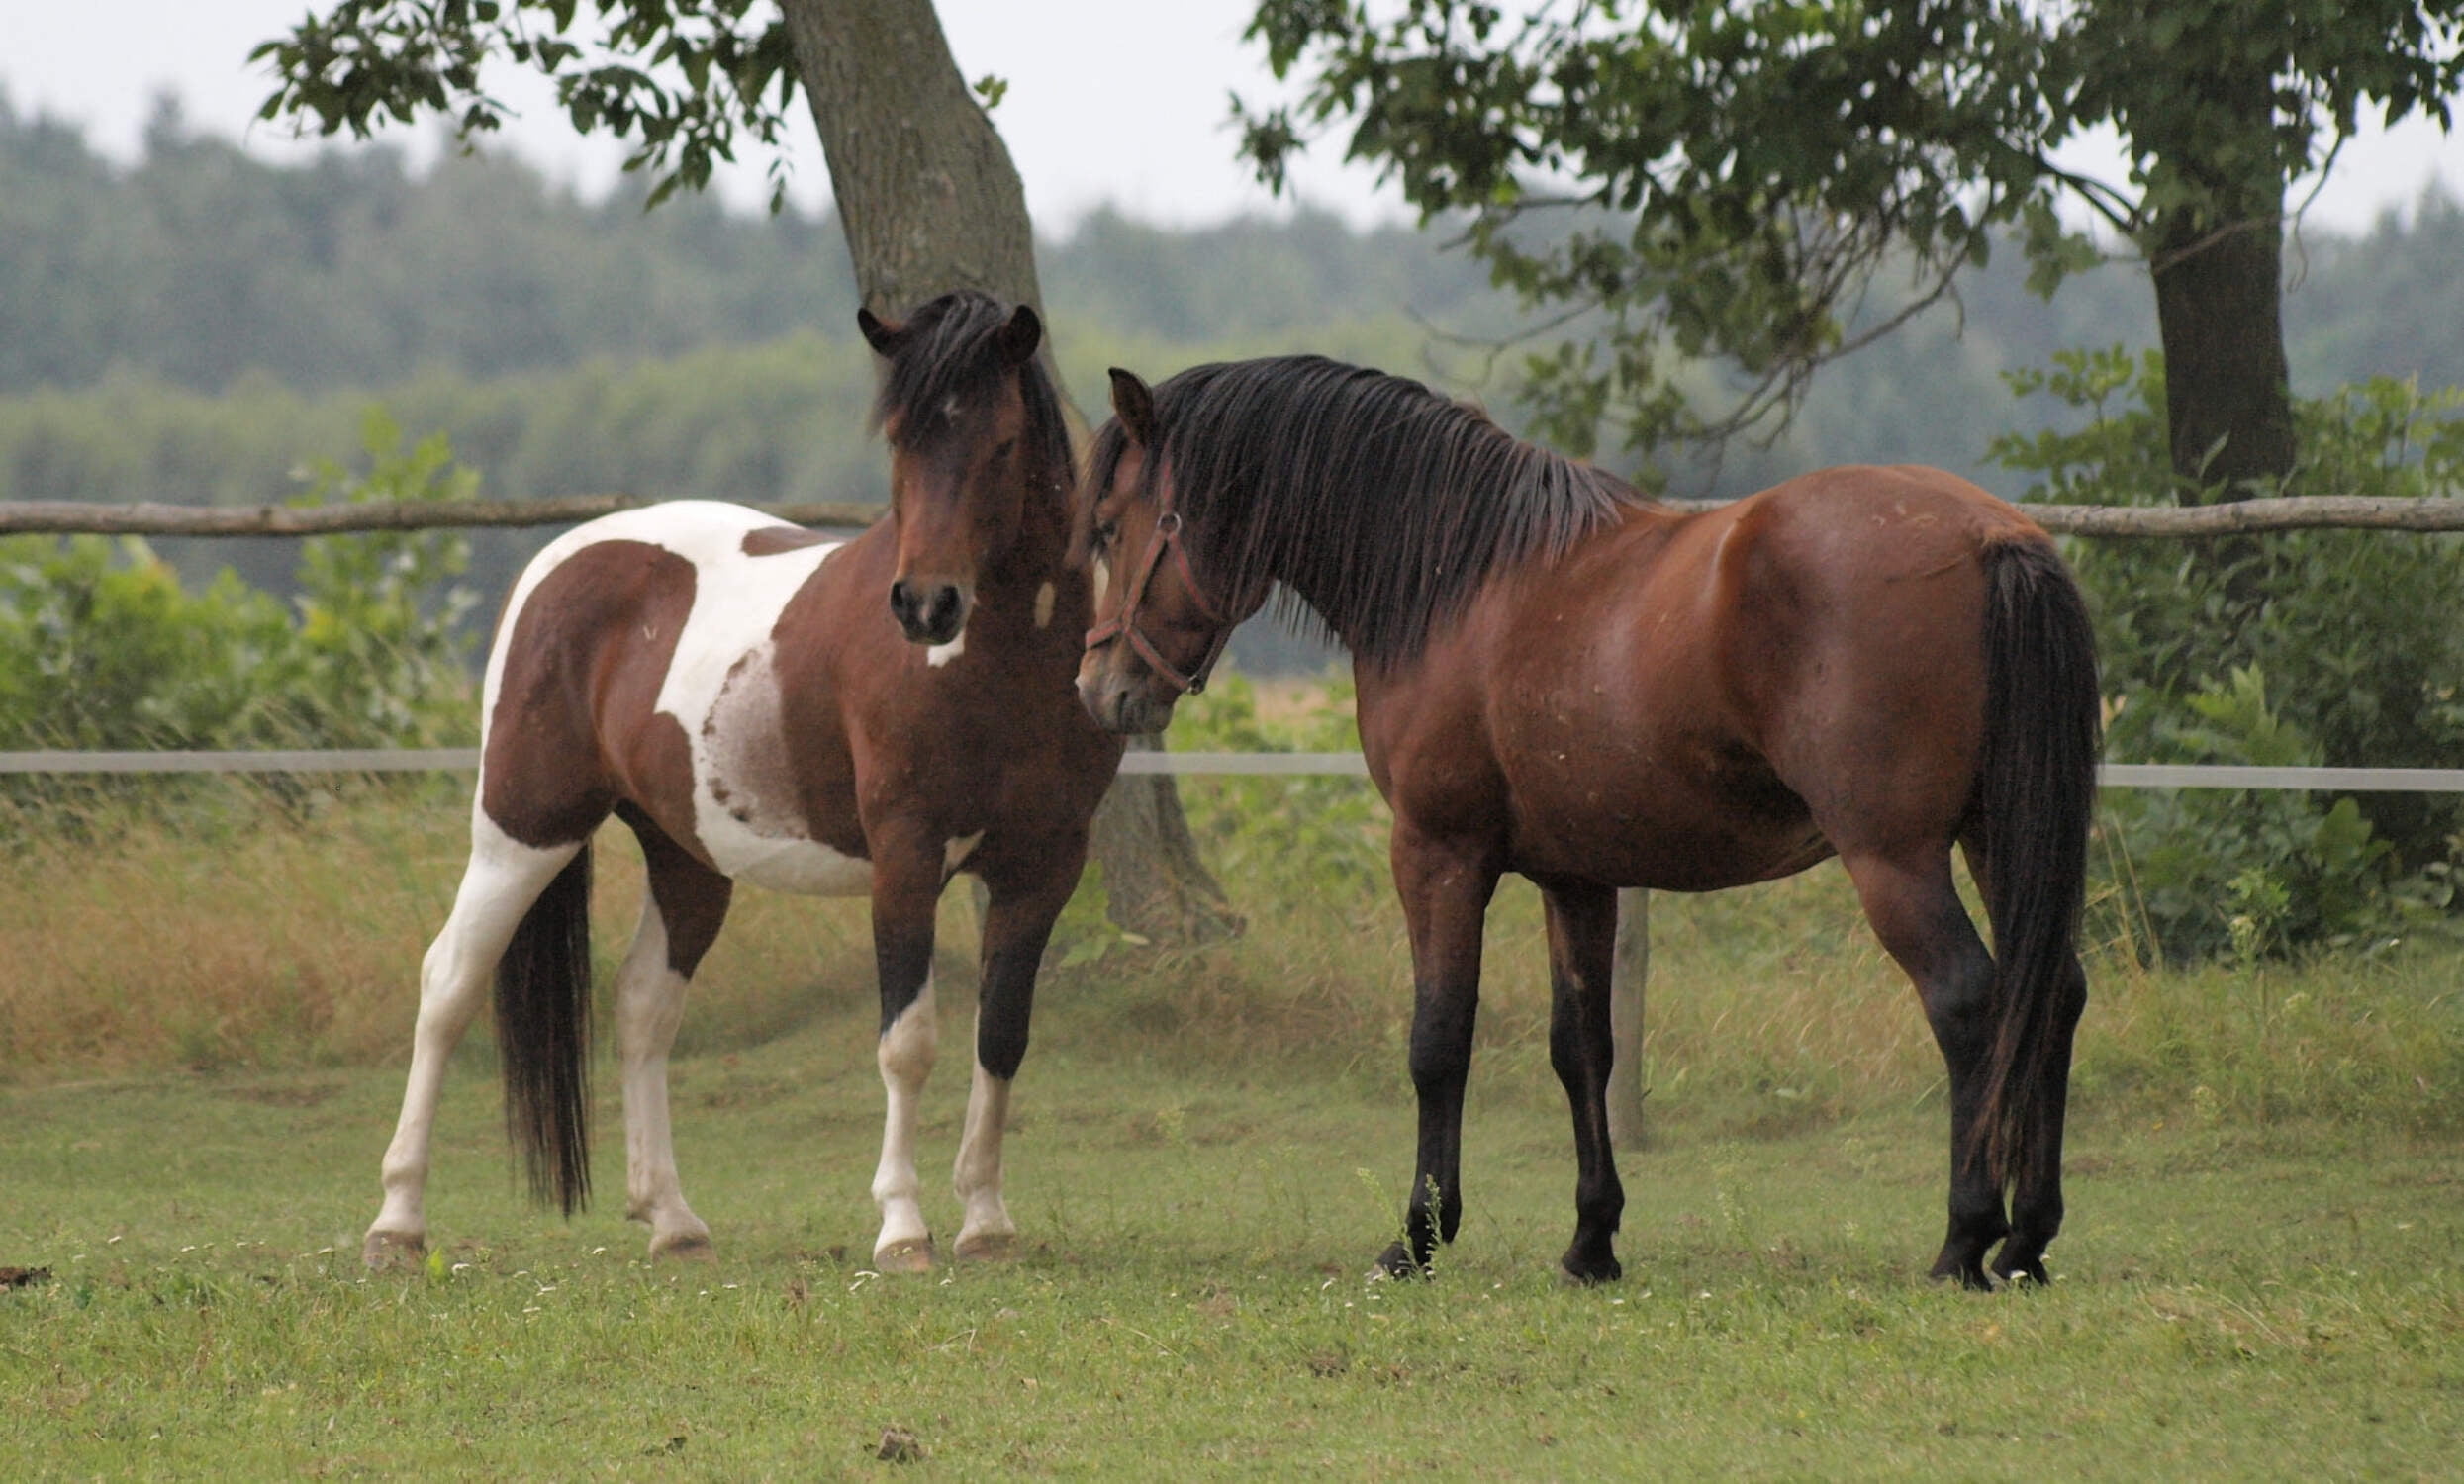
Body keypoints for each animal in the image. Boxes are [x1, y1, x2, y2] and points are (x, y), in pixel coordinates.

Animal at [362, 291, 1123, 1272]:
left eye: (1000, 443)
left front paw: (986, 1221)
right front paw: (902, 1229)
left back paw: (672, 1219)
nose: (925, 605)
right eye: (900, 441)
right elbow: (908, 1042)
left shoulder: (1043, 870)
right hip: (523, 828)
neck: (998, 670)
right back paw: (397, 1221)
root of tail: (560, 559)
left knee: (643, 1008)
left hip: (684, 858)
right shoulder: (906, 859)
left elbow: (1002, 1037)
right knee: (448, 985)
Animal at [1076, 356, 2099, 1290]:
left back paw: (1965, 1240)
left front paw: (1415, 1240)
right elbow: (1583, 1050)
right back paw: (2027, 1240)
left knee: (1968, 999)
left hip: (1893, 856)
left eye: (1112, 526)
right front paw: (1590, 1241)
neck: (1459, 580)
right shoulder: (1577, 875)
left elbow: (1438, 1042)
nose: (1100, 688)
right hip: (1996, 837)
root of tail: (1991, 535)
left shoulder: (1438, 854)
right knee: (2052, 991)